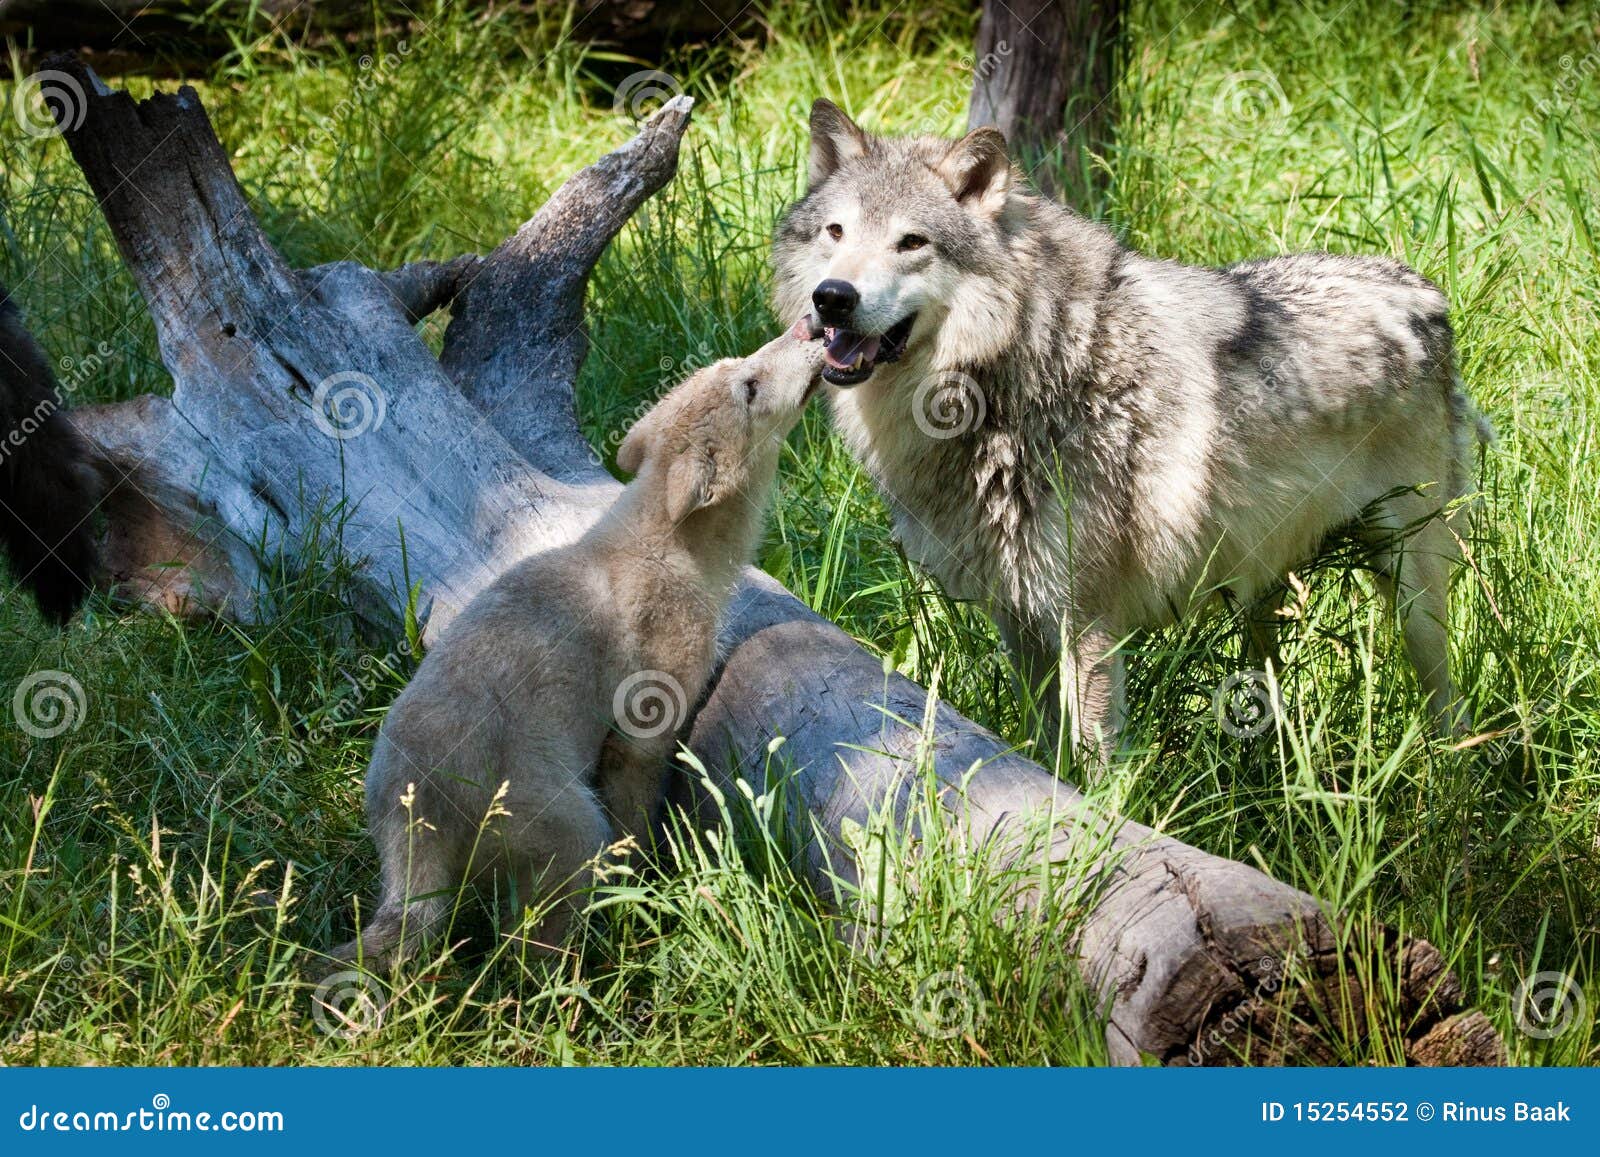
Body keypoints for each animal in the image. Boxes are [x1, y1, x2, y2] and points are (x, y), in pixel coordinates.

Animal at [335, 326, 824, 968]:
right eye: (750, 386)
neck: (669, 548)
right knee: (528, 945)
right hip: (566, 828)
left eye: (739, 364)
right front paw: (646, 880)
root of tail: (419, 811)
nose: (811, 326)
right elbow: (636, 811)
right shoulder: (645, 723)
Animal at [773, 100, 1492, 752]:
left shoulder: (1087, 622)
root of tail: (1425, 291)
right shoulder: (1019, 617)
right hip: (1260, 595)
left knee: (1449, 705)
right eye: (836, 232)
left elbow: (1095, 762)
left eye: (911, 242)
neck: (1023, 371)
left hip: (1414, 596)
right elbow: (1047, 748)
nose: (832, 297)